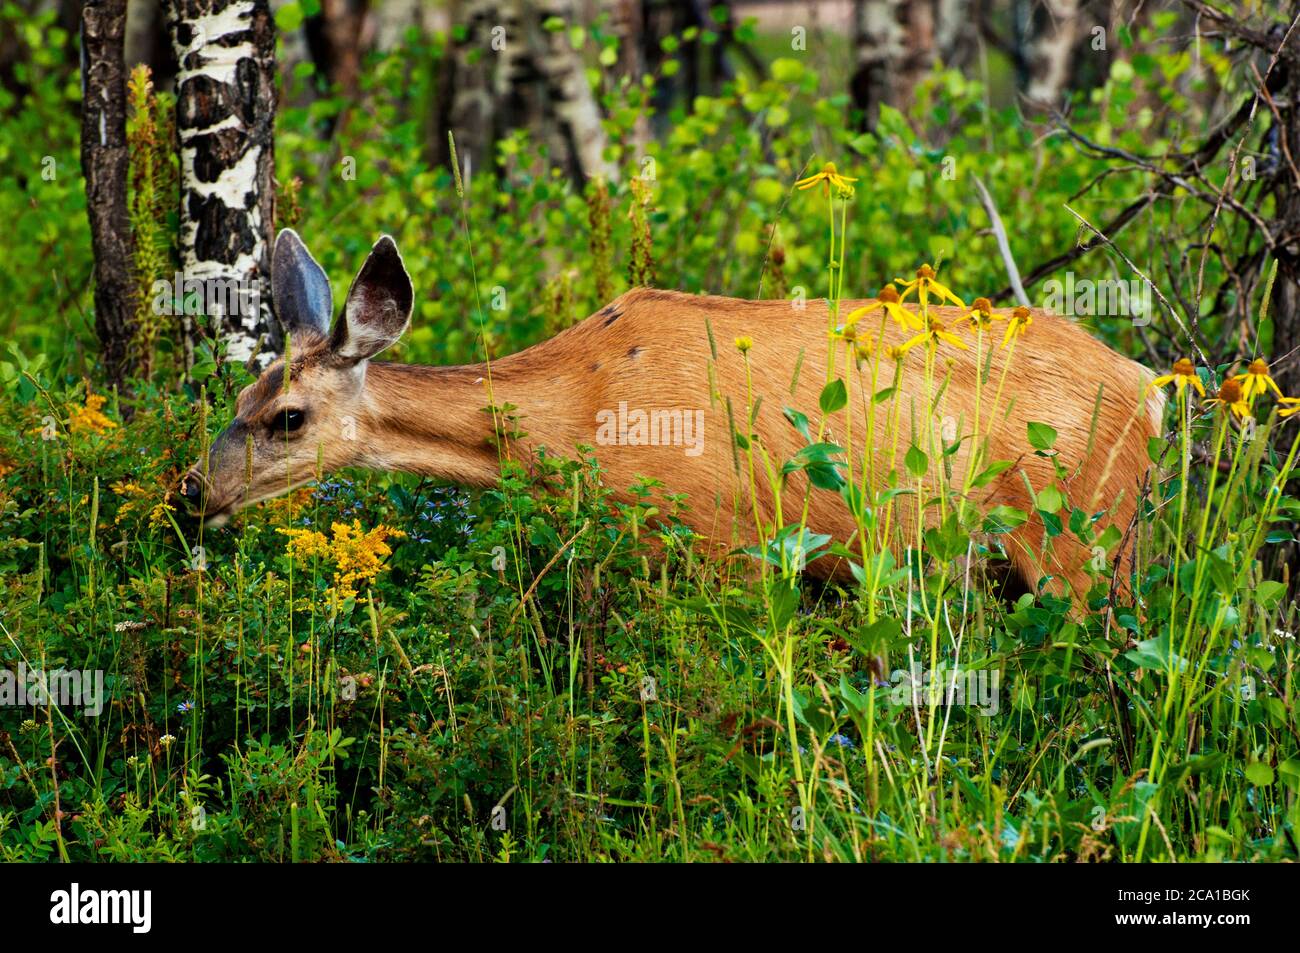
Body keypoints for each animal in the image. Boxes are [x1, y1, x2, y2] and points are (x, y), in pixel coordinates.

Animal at [180, 229, 1165, 603]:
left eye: (288, 417)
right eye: (238, 398)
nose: (190, 489)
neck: (572, 418)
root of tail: (1152, 386)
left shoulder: (719, 538)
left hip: (1082, 537)